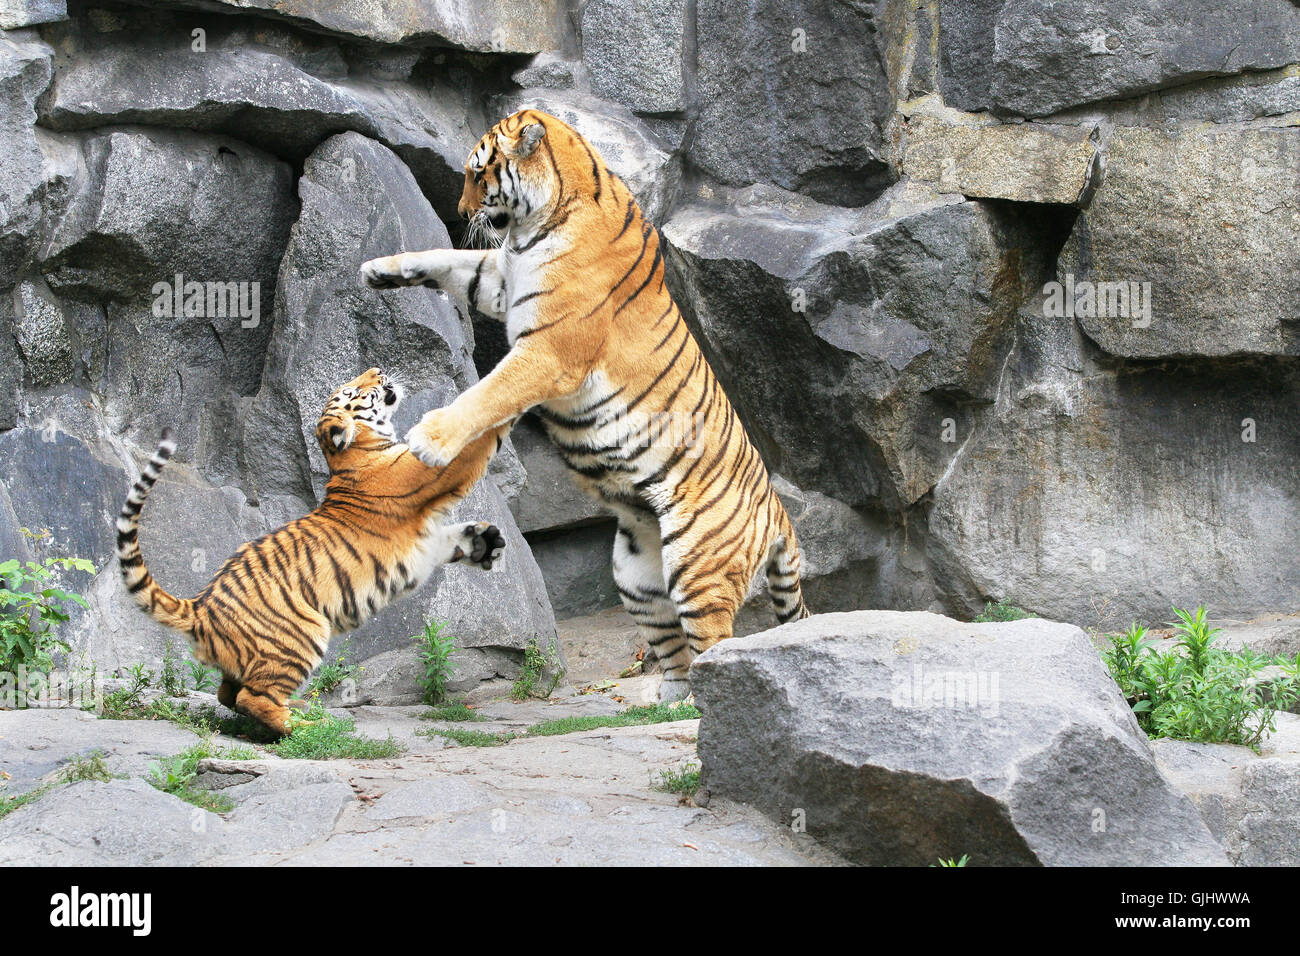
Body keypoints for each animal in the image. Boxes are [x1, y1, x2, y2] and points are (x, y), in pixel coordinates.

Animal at [116, 367, 508, 735]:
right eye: (353, 391)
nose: (377, 370)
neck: (353, 451)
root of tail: (201, 607)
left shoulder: (424, 543)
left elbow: (450, 538)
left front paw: (484, 543)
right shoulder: (427, 474)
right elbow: (476, 444)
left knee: (227, 694)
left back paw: (298, 708)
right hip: (301, 635)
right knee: (251, 698)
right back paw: (307, 725)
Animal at [360, 109, 810, 702]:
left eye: (478, 174)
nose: (458, 210)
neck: (537, 224)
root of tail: (780, 511)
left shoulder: (548, 351)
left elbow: (486, 392)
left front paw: (429, 441)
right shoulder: (499, 280)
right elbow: (449, 258)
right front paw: (379, 268)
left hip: (698, 569)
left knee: (716, 646)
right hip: (636, 575)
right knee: (675, 650)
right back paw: (664, 701)